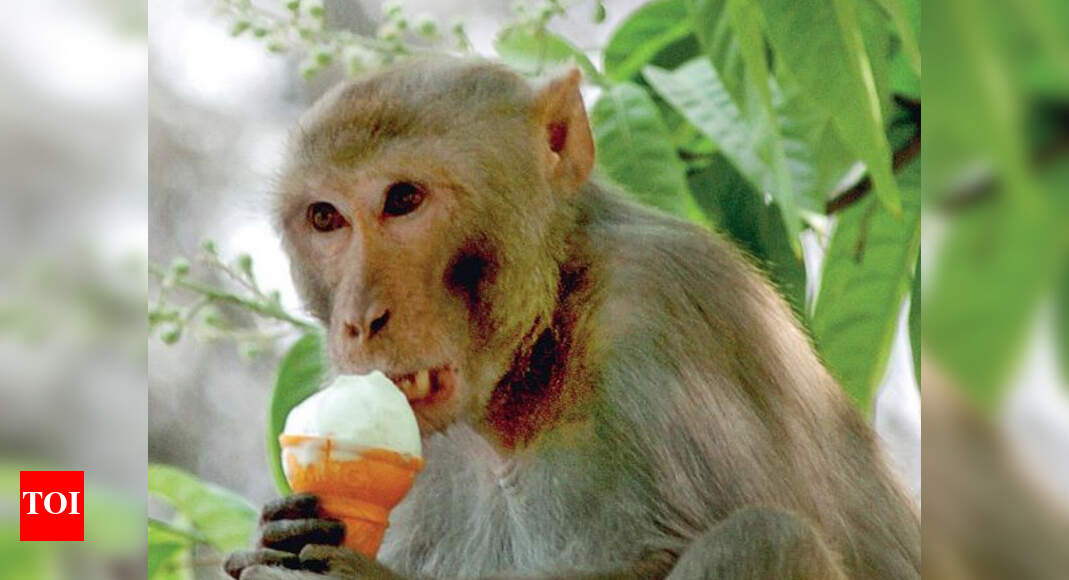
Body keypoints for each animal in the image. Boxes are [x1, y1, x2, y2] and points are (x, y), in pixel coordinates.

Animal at [224, 57, 920, 579]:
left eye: (403, 199)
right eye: (325, 218)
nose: (360, 319)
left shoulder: (663, 304)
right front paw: (275, 537)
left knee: (765, 537)